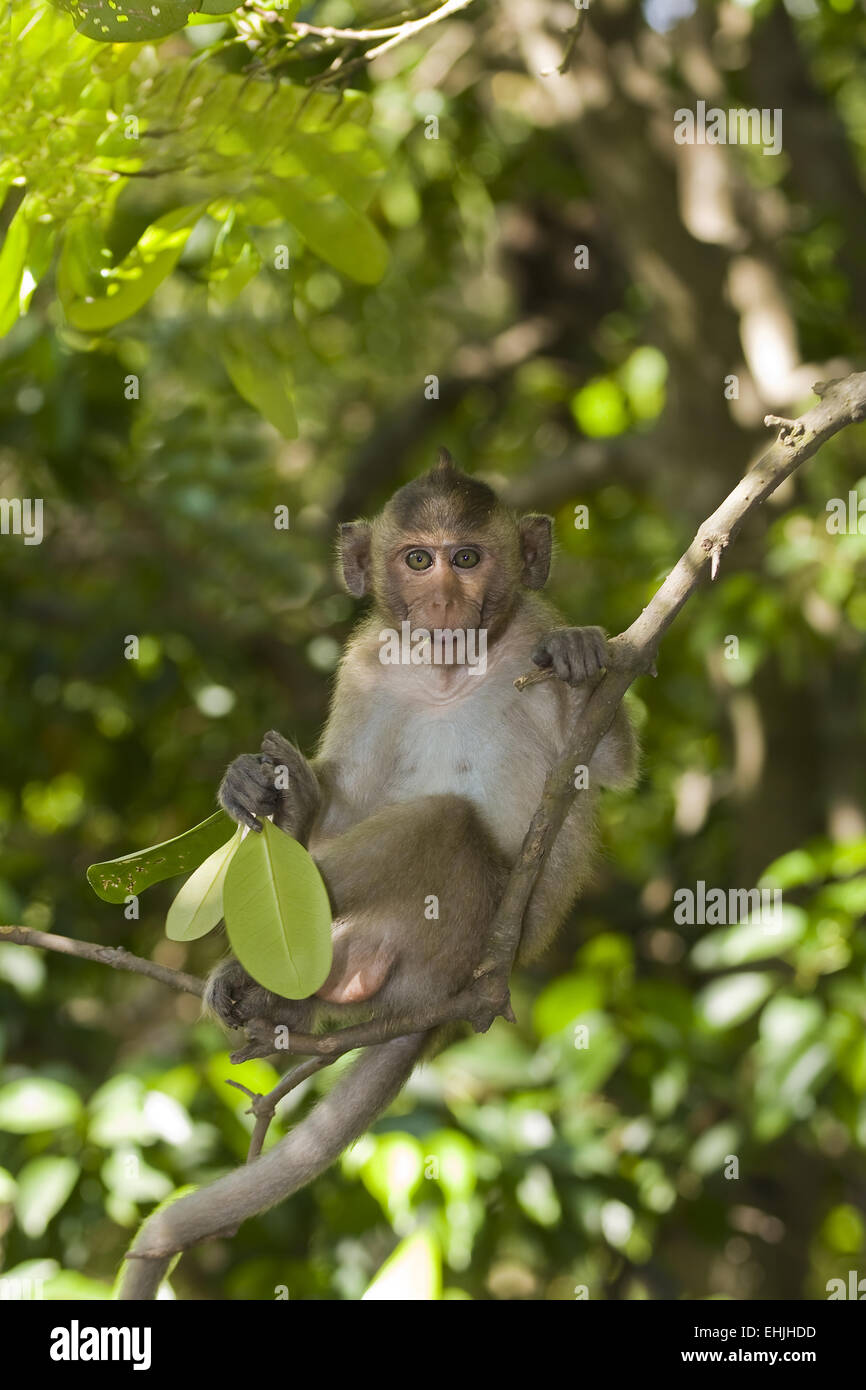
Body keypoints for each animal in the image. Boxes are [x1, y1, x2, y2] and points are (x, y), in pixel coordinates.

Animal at [198, 448, 637, 1233]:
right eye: (417, 560)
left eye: (466, 558)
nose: (443, 601)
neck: (448, 672)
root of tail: (445, 1008)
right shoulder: (365, 667)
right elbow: (348, 804)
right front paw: (266, 790)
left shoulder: (532, 631)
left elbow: (608, 766)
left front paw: (582, 656)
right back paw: (282, 995)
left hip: (456, 938)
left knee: (446, 825)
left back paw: (256, 984)